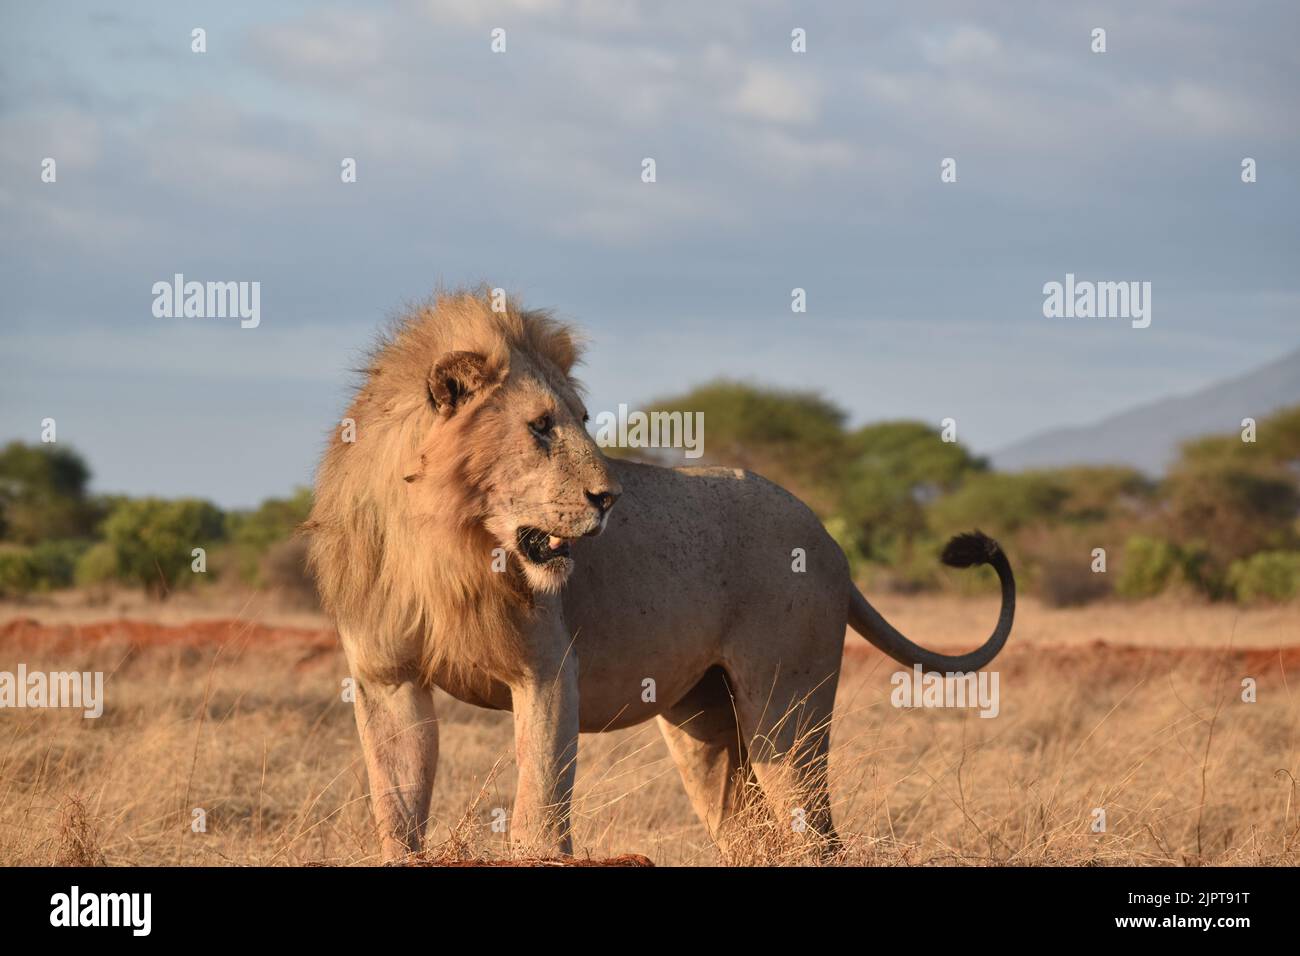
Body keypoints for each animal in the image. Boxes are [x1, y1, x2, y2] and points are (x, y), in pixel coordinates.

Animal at [305, 289, 1014, 861]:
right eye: (540, 427)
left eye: (581, 420)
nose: (609, 498)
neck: (445, 545)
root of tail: (826, 534)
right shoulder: (388, 681)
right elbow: (397, 810)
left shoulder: (547, 669)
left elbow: (539, 809)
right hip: (706, 722)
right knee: (746, 830)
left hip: (787, 711)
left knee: (817, 835)